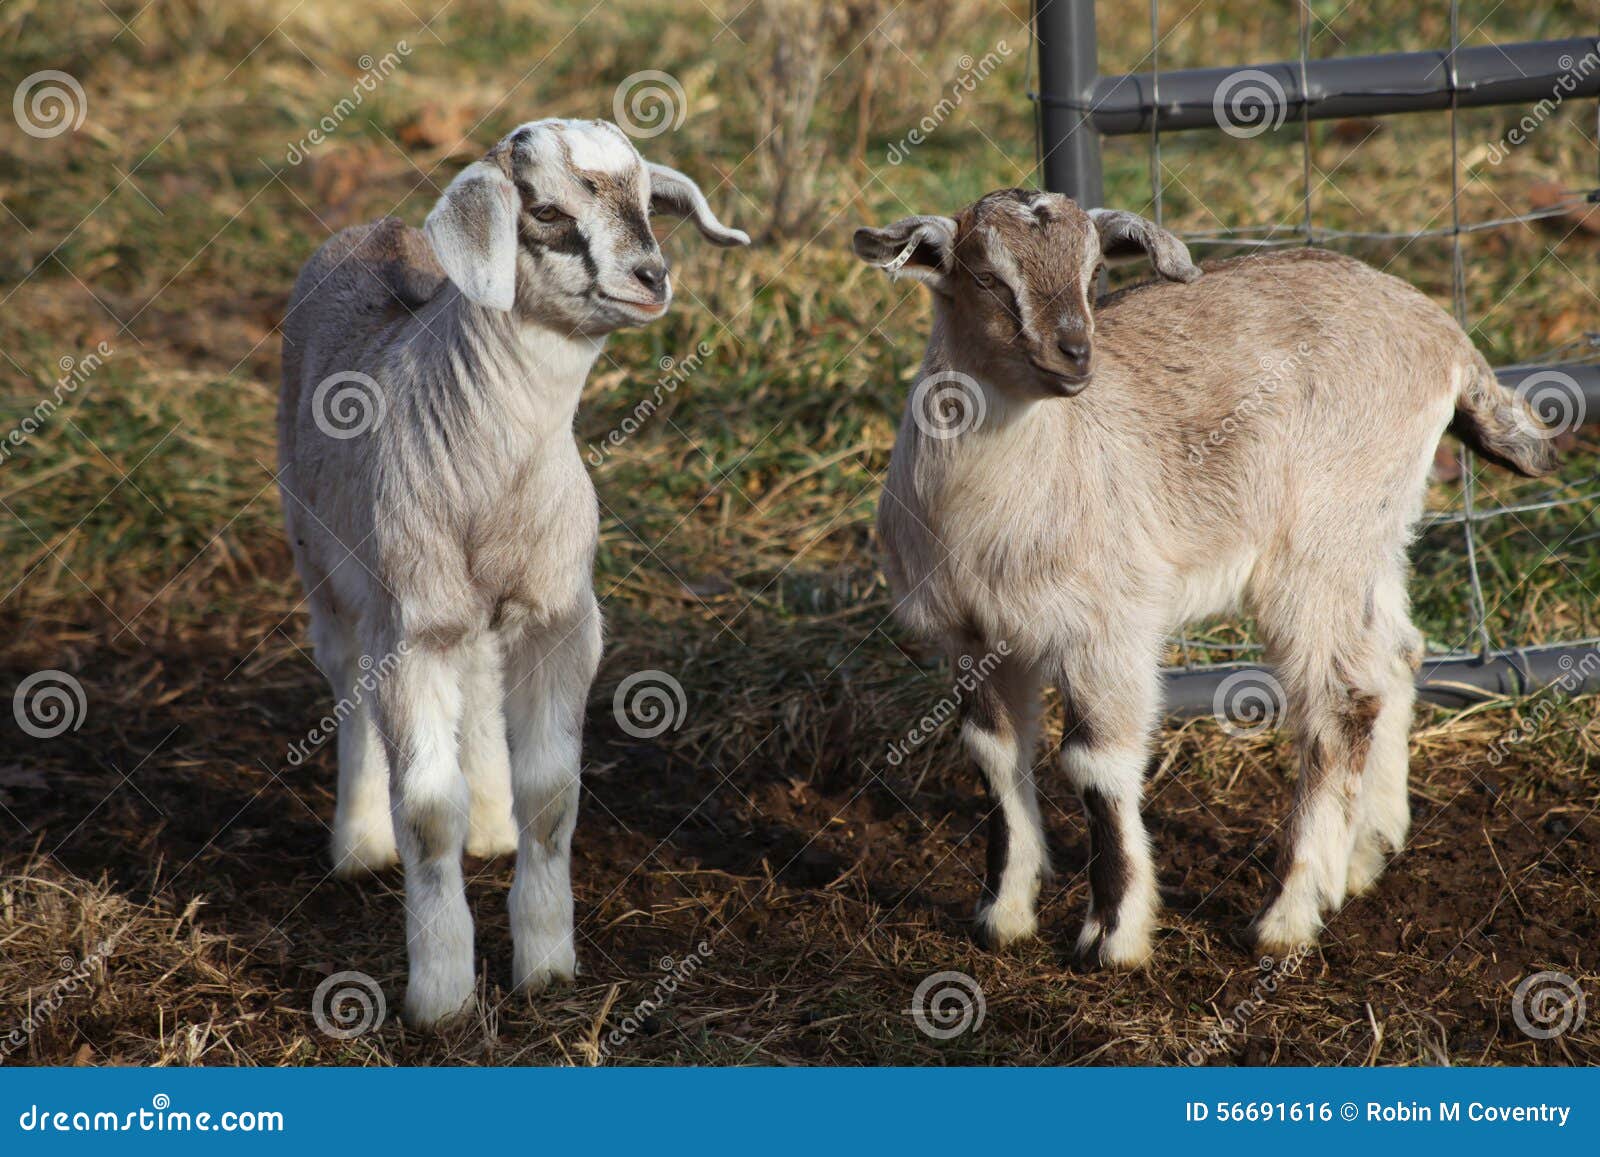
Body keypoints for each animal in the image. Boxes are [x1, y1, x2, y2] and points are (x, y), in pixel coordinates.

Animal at [278, 118, 749, 1026]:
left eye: (650, 203)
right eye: (549, 211)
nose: (652, 277)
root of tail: (376, 229)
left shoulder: (561, 615)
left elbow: (553, 795)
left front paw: (547, 964)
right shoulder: (412, 623)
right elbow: (429, 813)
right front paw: (441, 993)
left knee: (480, 677)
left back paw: (490, 824)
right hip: (322, 560)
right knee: (347, 680)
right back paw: (359, 842)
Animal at [853, 188, 1555, 965]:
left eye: (1093, 270)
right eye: (986, 278)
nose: (1075, 354)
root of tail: (1448, 340)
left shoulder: (1108, 627)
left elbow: (1095, 765)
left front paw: (1114, 935)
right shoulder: (970, 634)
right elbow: (994, 756)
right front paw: (1001, 916)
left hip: (1317, 539)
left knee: (1341, 701)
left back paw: (1289, 915)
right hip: (1373, 531)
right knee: (1395, 656)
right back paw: (1365, 854)